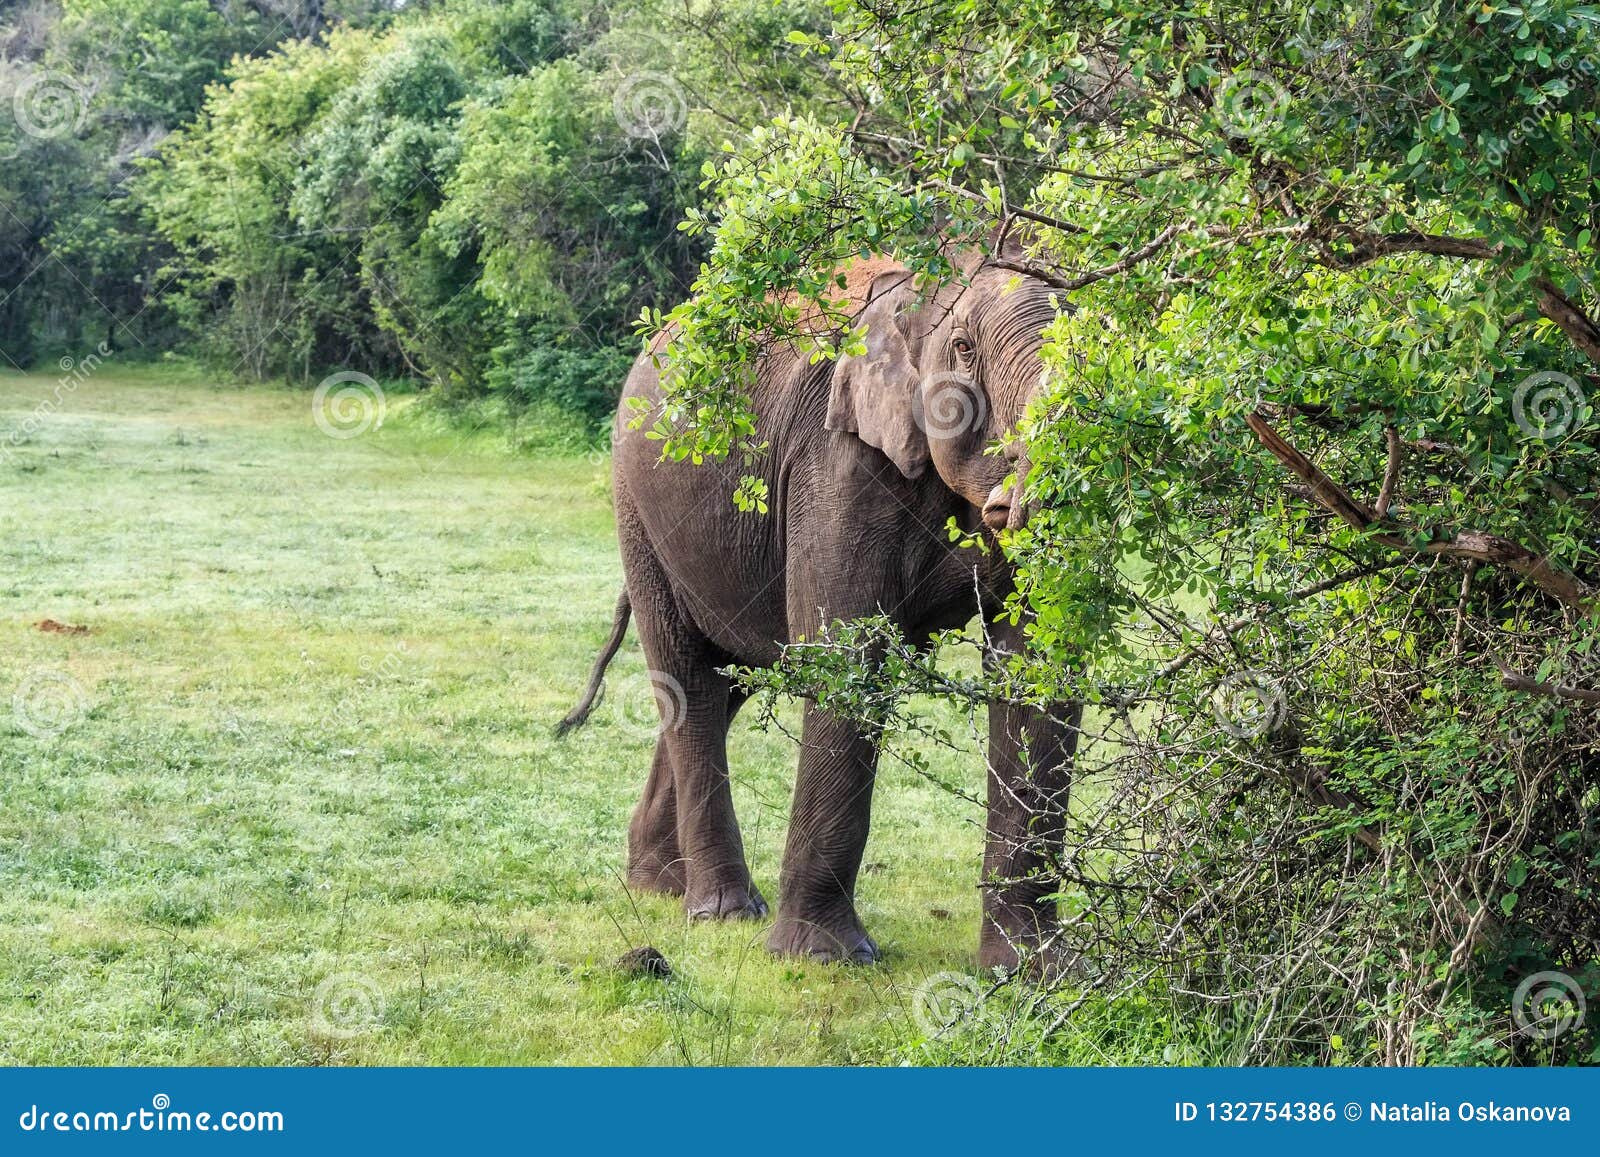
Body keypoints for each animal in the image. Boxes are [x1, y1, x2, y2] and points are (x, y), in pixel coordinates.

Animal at [560, 252, 1079, 969]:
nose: (1014, 499)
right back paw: (721, 910)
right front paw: (821, 958)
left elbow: (1037, 669)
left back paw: (657, 885)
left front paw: (1032, 969)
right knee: (688, 677)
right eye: (964, 349)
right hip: (637, 507)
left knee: (724, 681)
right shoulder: (837, 459)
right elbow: (847, 657)